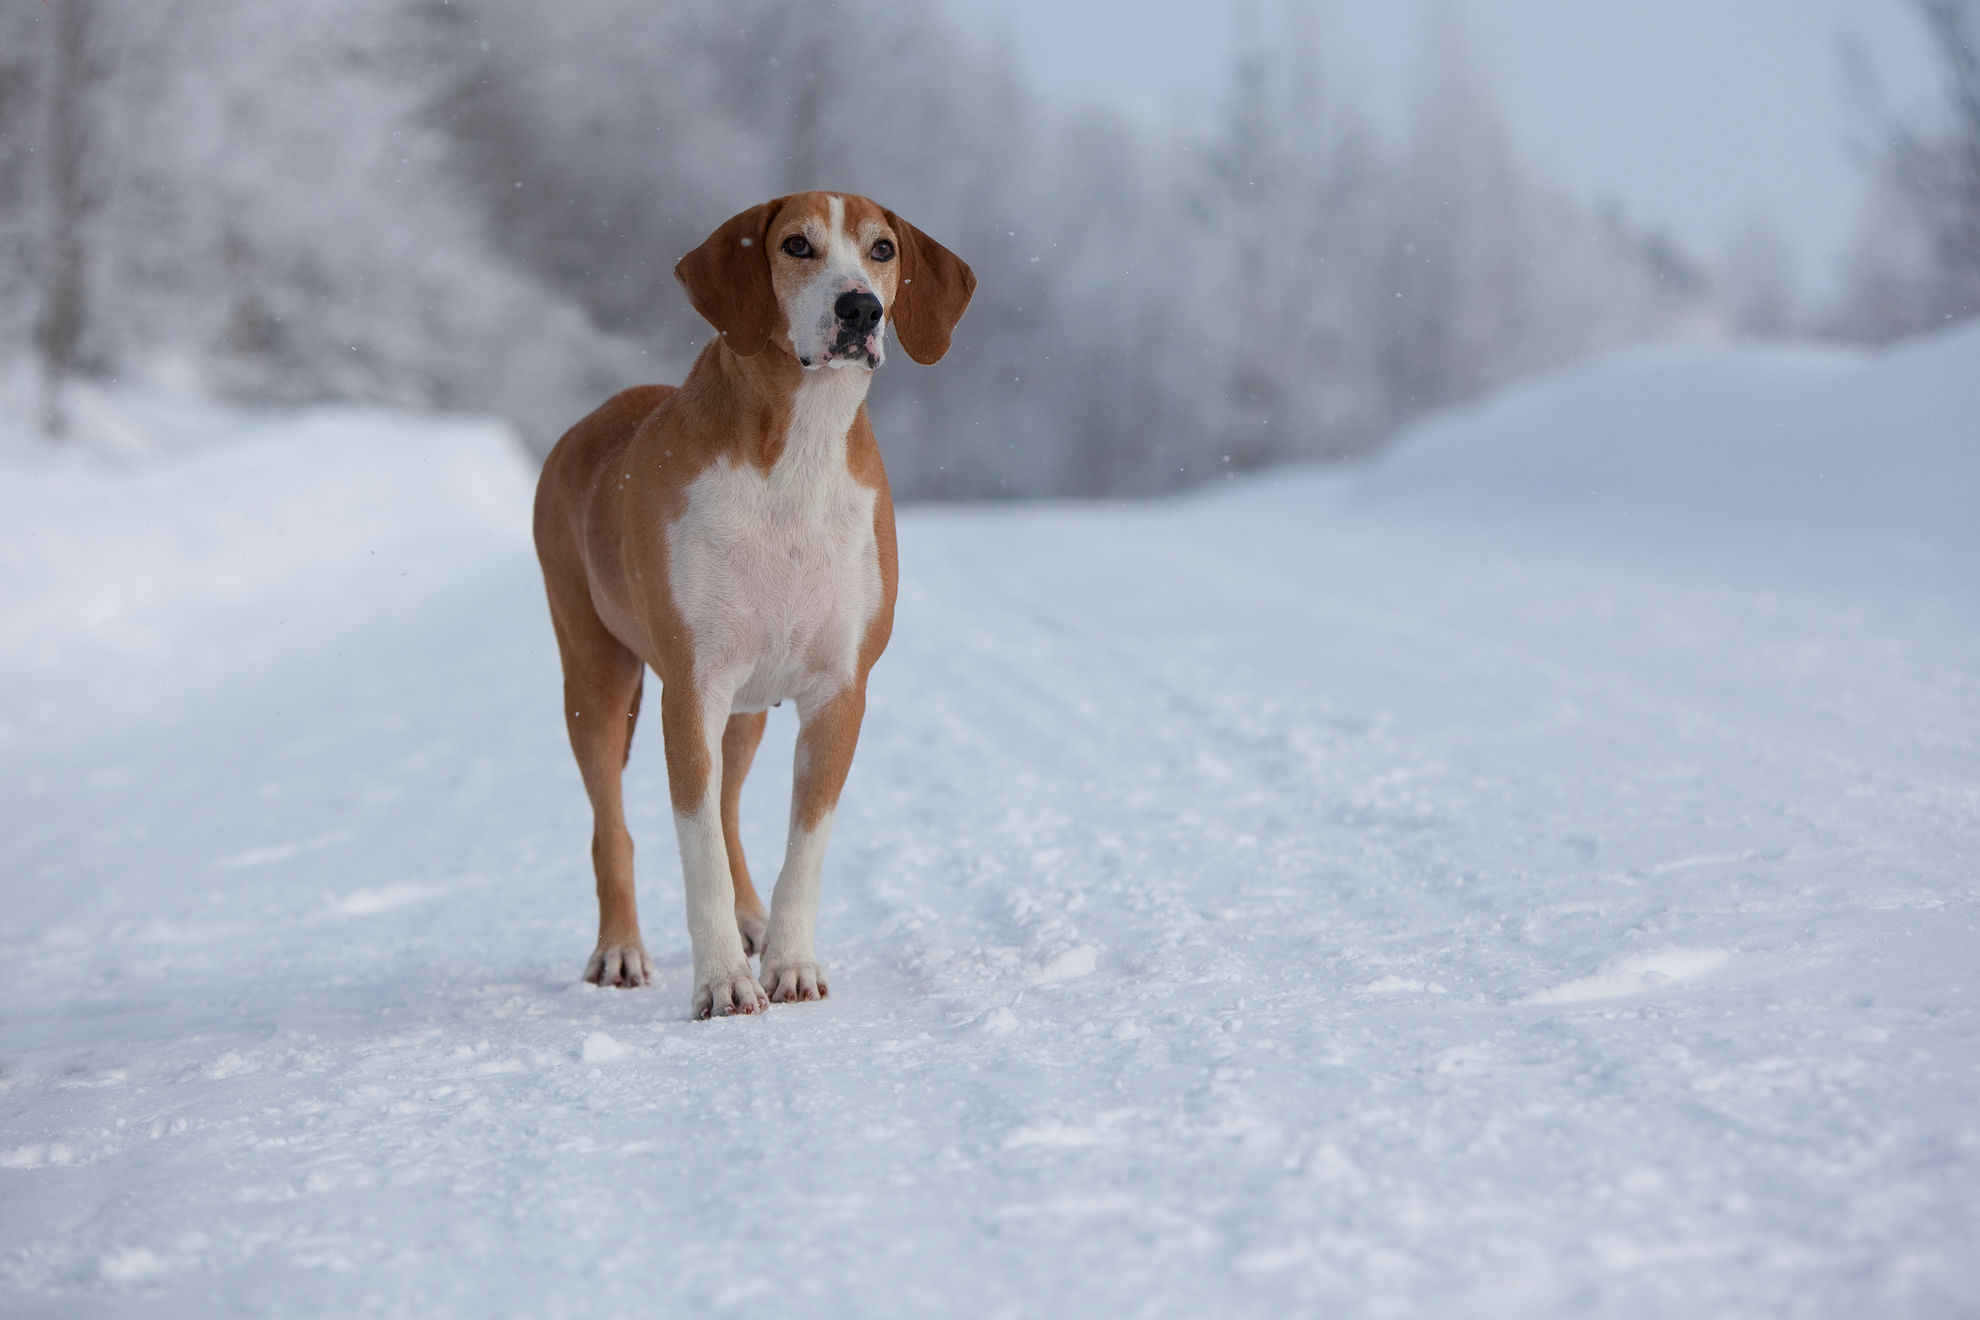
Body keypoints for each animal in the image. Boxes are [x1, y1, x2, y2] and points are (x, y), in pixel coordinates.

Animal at [534, 190, 974, 1021]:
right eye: (796, 245)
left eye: (883, 249)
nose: (860, 309)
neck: (797, 451)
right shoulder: (691, 688)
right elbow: (696, 845)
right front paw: (722, 983)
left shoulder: (838, 691)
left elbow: (803, 844)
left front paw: (791, 963)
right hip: (595, 675)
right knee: (613, 824)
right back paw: (620, 949)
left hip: (745, 707)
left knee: (731, 807)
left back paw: (751, 920)